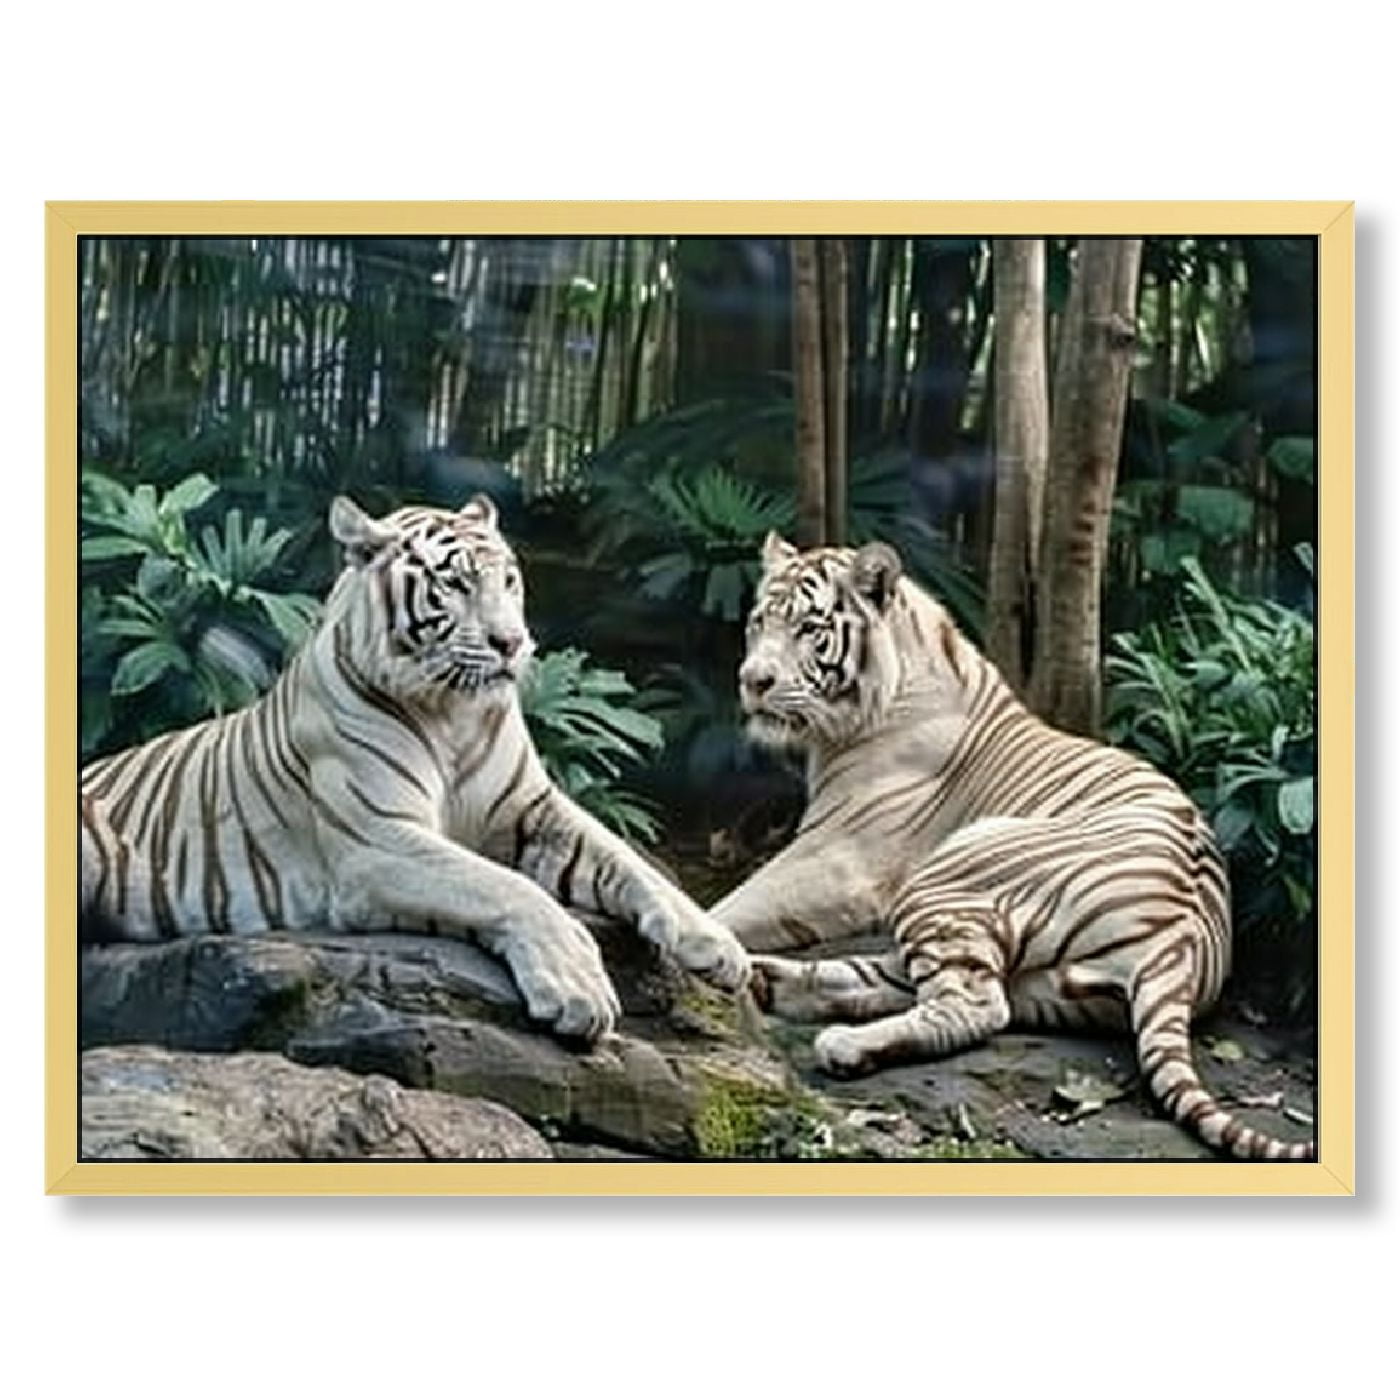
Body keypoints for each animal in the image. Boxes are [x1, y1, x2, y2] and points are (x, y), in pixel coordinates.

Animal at [80, 493, 749, 1043]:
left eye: (510, 581)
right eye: (454, 584)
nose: (513, 643)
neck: (456, 713)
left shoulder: (532, 808)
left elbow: (630, 859)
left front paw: (715, 946)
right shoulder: (379, 840)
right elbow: (510, 888)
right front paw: (576, 987)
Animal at [710, 531, 1314, 1162]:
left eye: (808, 628)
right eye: (759, 622)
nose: (753, 680)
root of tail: (1185, 942)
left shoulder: (839, 857)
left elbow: (739, 902)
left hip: (953, 872)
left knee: (975, 1007)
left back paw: (840, 1043)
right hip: (1037, 978)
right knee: (905, 982)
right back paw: (764, 981)